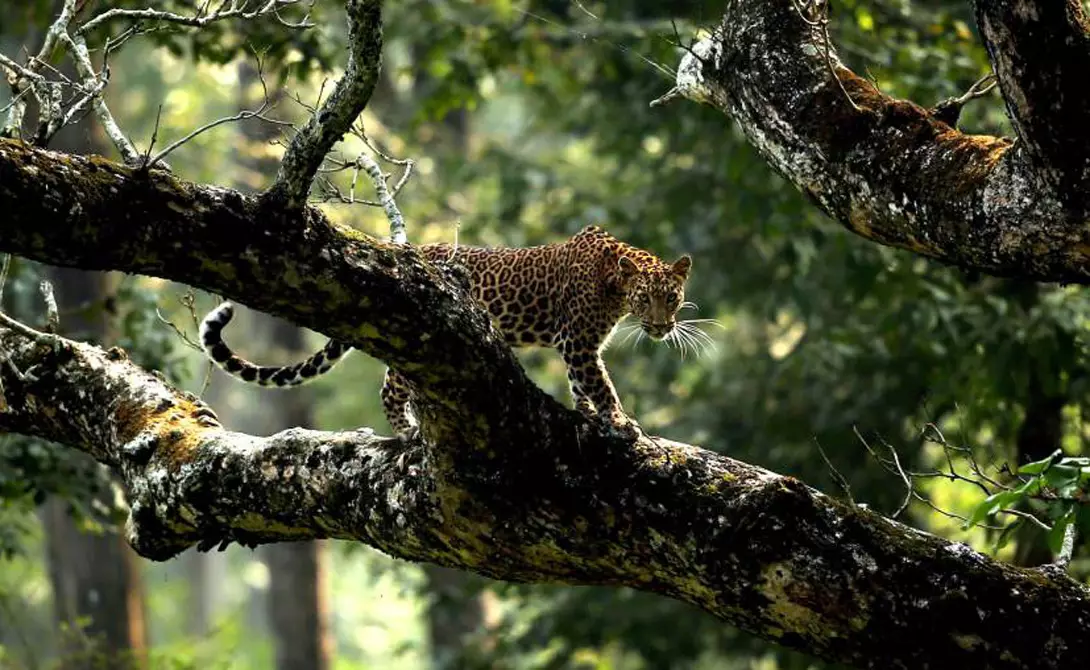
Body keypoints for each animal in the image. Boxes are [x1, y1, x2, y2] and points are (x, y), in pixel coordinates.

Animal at [200, 225, 693, 440]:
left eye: (671, 297)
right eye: (646, 299)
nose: (661, 325)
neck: (615, 281)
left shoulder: (578, 346)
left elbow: (581, 384)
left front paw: (589, 414)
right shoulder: (577, 341)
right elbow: (600, 383)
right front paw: (620, 420)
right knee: (390, 386)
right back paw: (407, 430)